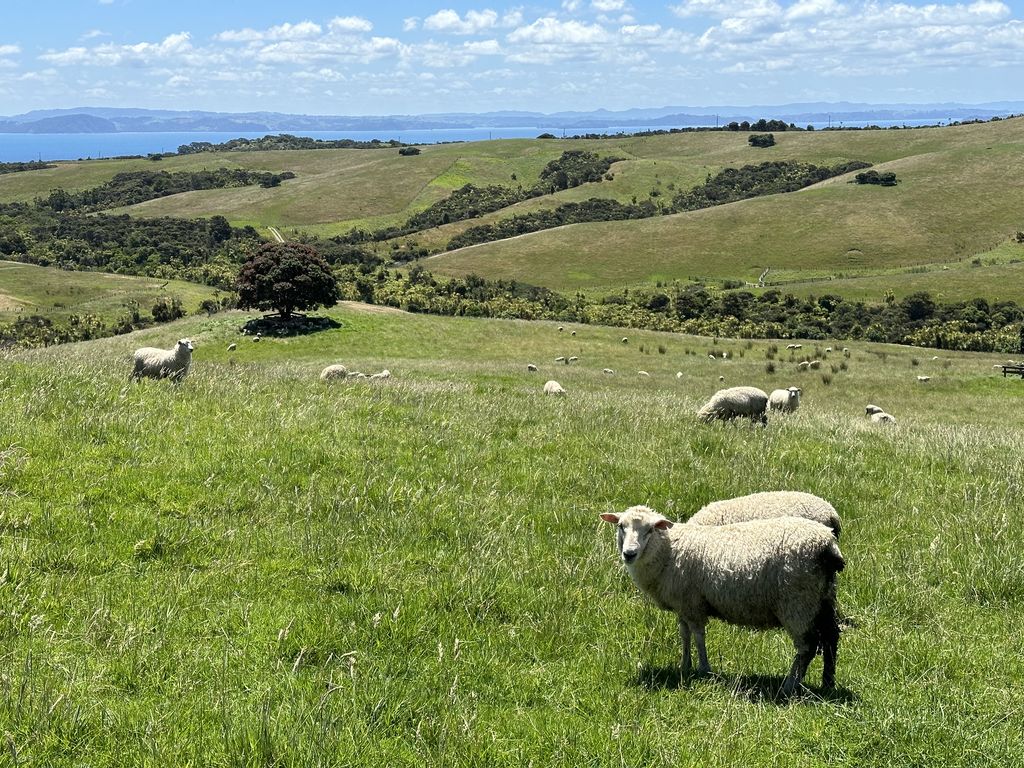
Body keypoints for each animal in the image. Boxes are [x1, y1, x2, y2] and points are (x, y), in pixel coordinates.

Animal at [601, 505, 844, 695]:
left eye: (650, 529)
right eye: (621, 526)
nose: (629, 553)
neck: (670, 550)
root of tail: (827, 544)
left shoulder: (692, 604)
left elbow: (698, 636)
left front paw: (703, 669)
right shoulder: (683, 605)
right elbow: (684, 634)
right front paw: (684, 666)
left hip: (797, 602)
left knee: (807, 647)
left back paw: (790, 685)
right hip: (822, 597)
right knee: (831, 638)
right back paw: (828, 682)